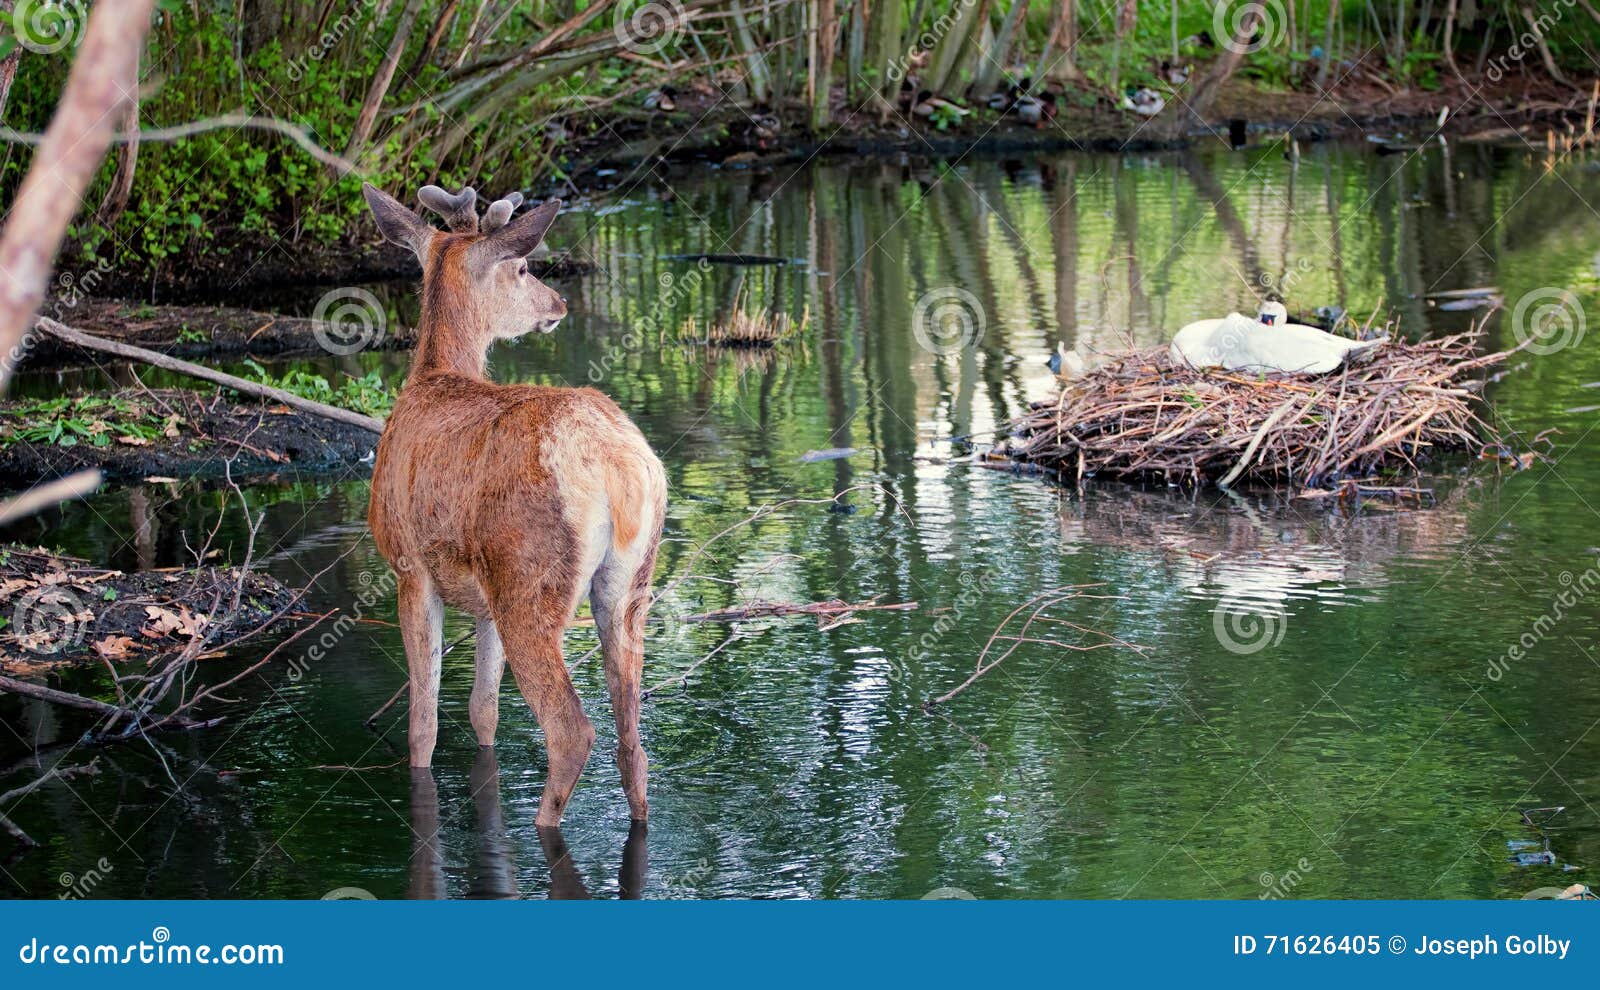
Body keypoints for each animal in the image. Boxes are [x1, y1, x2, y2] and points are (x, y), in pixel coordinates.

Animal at [361, 181, 666, 827]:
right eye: (524, 267)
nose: (559, 301)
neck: (433, 376)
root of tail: (619, 468)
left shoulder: (409, 568)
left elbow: (423, 722)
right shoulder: (482, 599)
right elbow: (483, 710)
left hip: (530, 580)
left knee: (573, 730)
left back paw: (544, 823)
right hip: (629, 584)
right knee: (632, 741)